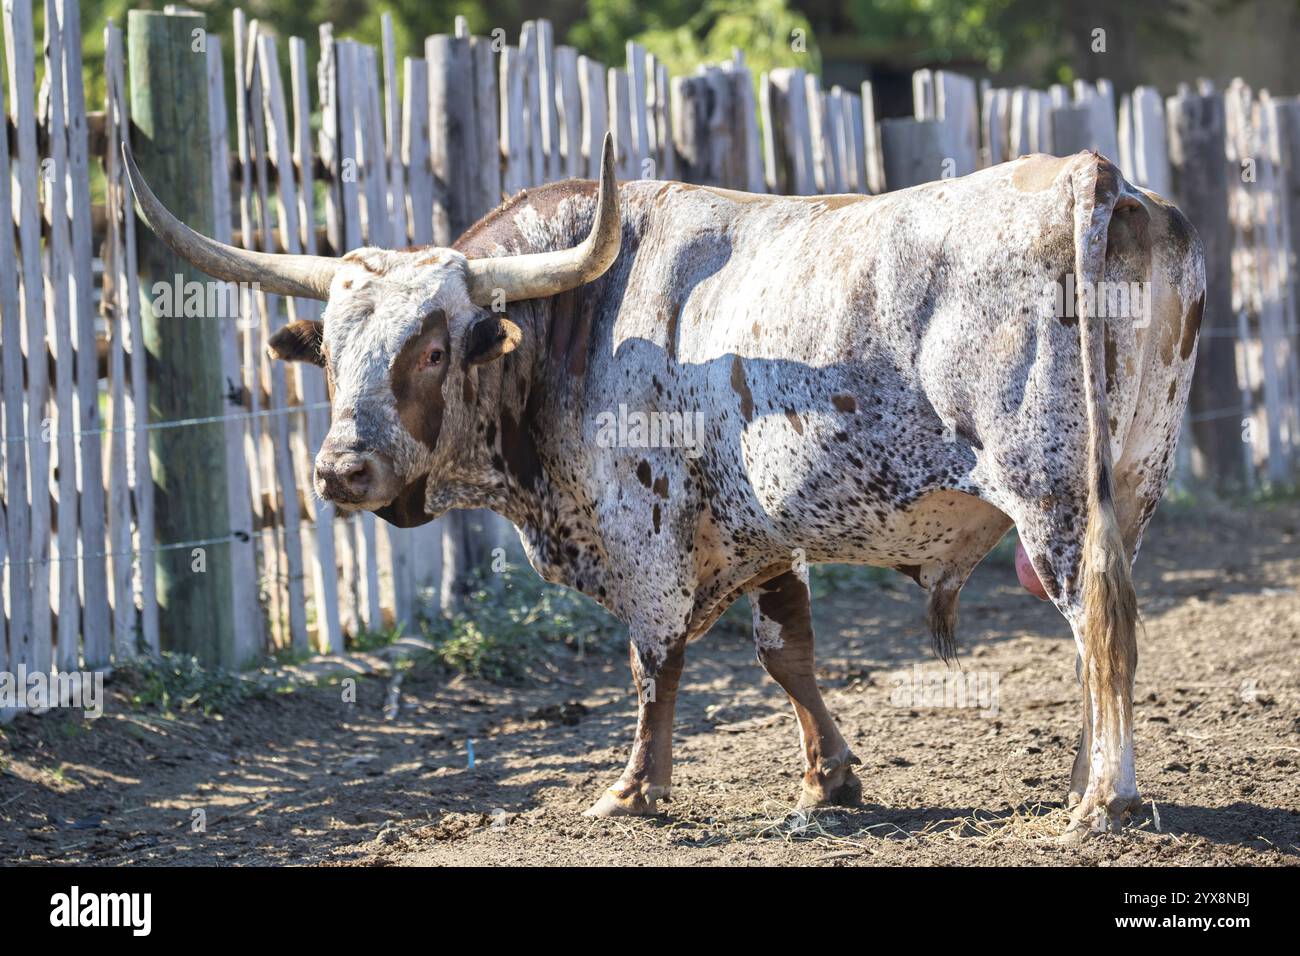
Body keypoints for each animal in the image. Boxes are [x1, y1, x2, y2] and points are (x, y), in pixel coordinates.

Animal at [123, 133, 1204, 836]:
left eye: (431, 349)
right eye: (330, 355)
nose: (342, 468)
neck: (579, 321)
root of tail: (1089, 175)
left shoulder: (640, 536)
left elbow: (656, 663)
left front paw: (633, 789)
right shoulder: (765, 530)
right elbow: (787, 652)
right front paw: (828, 780)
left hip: (1053, 496)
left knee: (1096, 623)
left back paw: (1100, 799)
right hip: (1130, 483)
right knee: (1107, 628)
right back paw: (1086, 773)